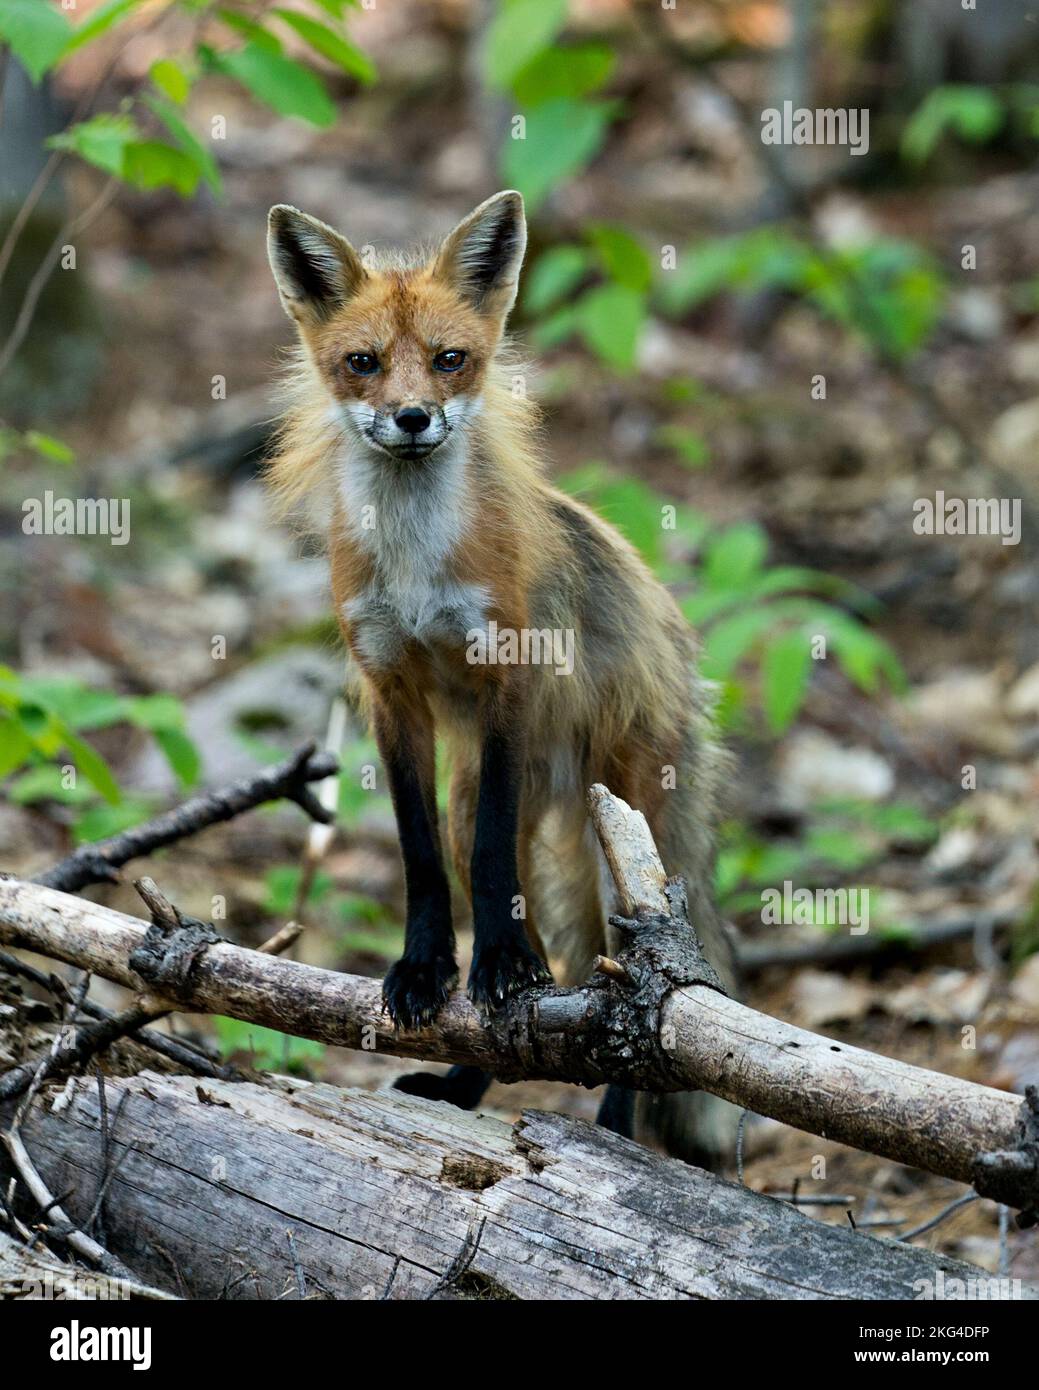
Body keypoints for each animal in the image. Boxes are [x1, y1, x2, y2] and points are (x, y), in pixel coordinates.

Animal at [265, 190, 740, 1166]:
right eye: (362, 364)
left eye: (450, 360)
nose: (413, 418)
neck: (415, 566)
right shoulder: (389, 692)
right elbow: (419, 860)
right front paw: (425, 970)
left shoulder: (506, 680)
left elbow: (491, 871)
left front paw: (500, 969)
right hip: (488, 794)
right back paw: (462, 1083)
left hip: (626, 841)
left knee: (636, 978)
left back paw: (615, 1130)